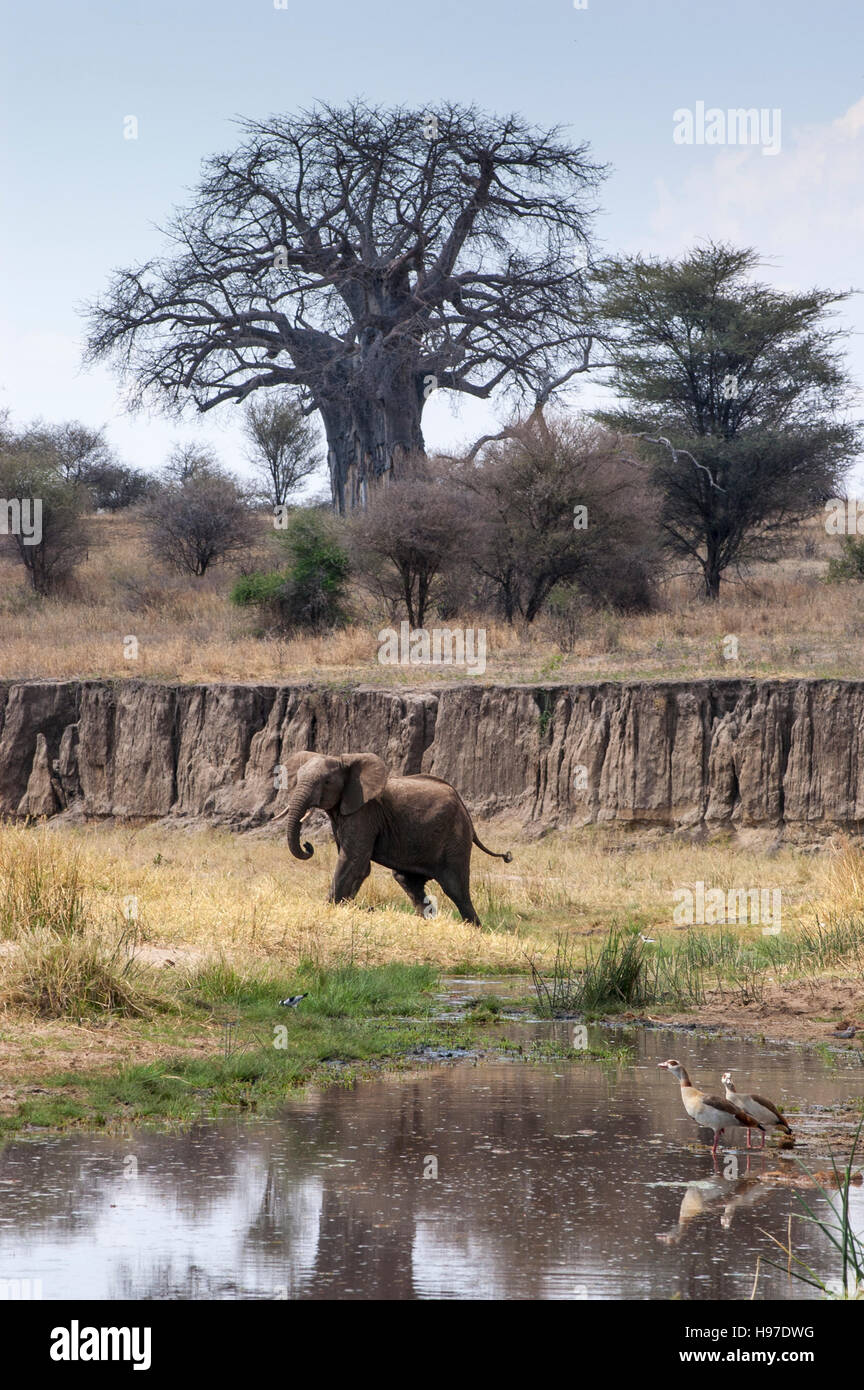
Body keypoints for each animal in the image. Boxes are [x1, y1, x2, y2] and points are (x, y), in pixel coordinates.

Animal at [270, 751, 512, 927]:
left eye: (327, 782)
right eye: (297, 780)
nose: (308, 846)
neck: (344, 760)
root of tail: (464, 808)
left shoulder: (365, 812)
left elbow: (352, 860)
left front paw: (329, 908)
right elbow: (359, 865)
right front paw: (345, 906)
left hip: (456, 836)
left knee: (455, 887)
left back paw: (474, 928)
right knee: (407, 880)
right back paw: (426, 920)